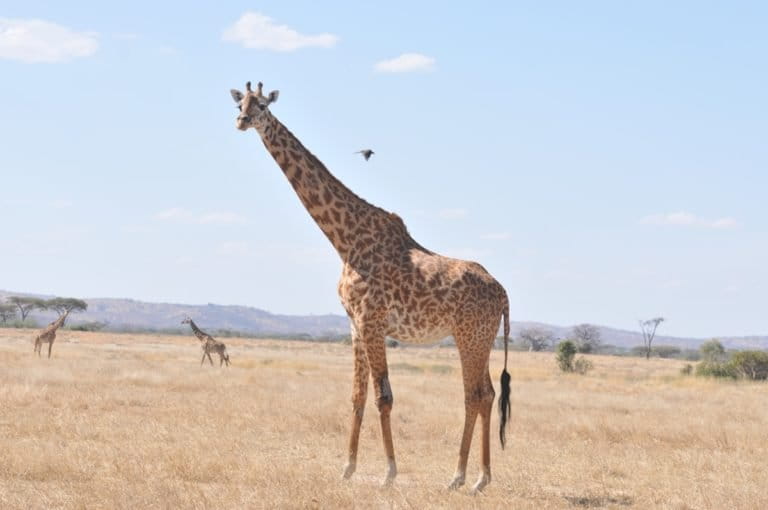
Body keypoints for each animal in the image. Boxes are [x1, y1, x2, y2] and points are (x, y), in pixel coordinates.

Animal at [230, 81, 511, 492]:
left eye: (263, 106)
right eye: (240, 103)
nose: (242, 121)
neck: (345, 239)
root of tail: (504, 293)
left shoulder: (373, 321)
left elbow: (384, 396)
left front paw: (389, 473)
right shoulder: (354, 325)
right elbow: (357, 396)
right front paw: (347, 468)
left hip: (469, 336)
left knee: (473, 394)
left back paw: (459, 477)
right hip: (482, 338)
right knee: (488, 394)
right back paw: (481, 478)